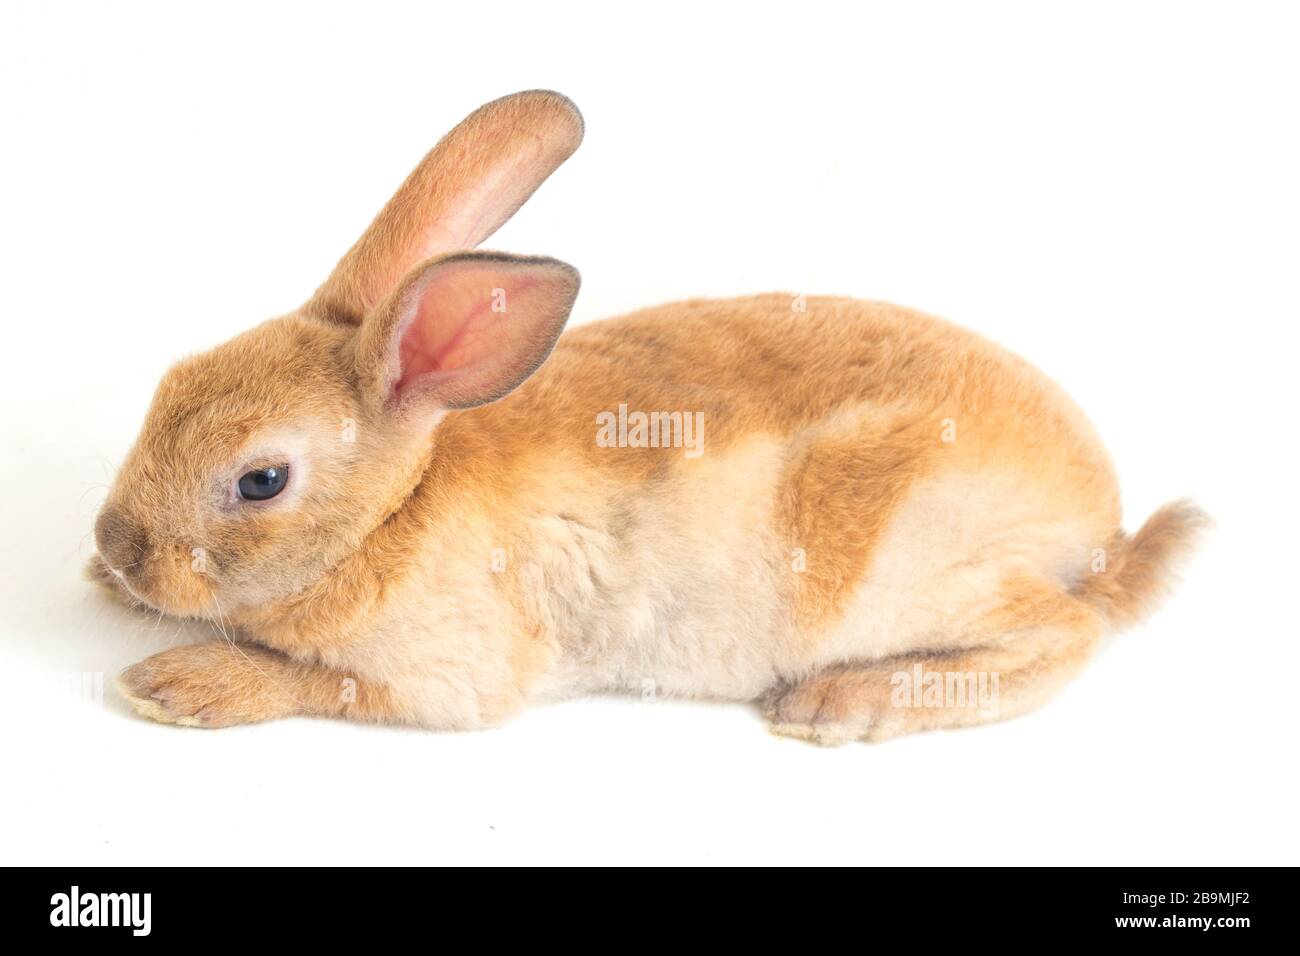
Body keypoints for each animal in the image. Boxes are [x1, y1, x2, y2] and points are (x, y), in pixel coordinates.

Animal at [91, 89, 1207, 743]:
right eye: (173, 381)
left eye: (261, 480)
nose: (115, 545)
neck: (392, 508)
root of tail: (1100, 532)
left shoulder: (447, 675)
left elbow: (319, 682)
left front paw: (182, 684)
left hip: (912, 569)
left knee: (1063, 634)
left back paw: (838, 704)